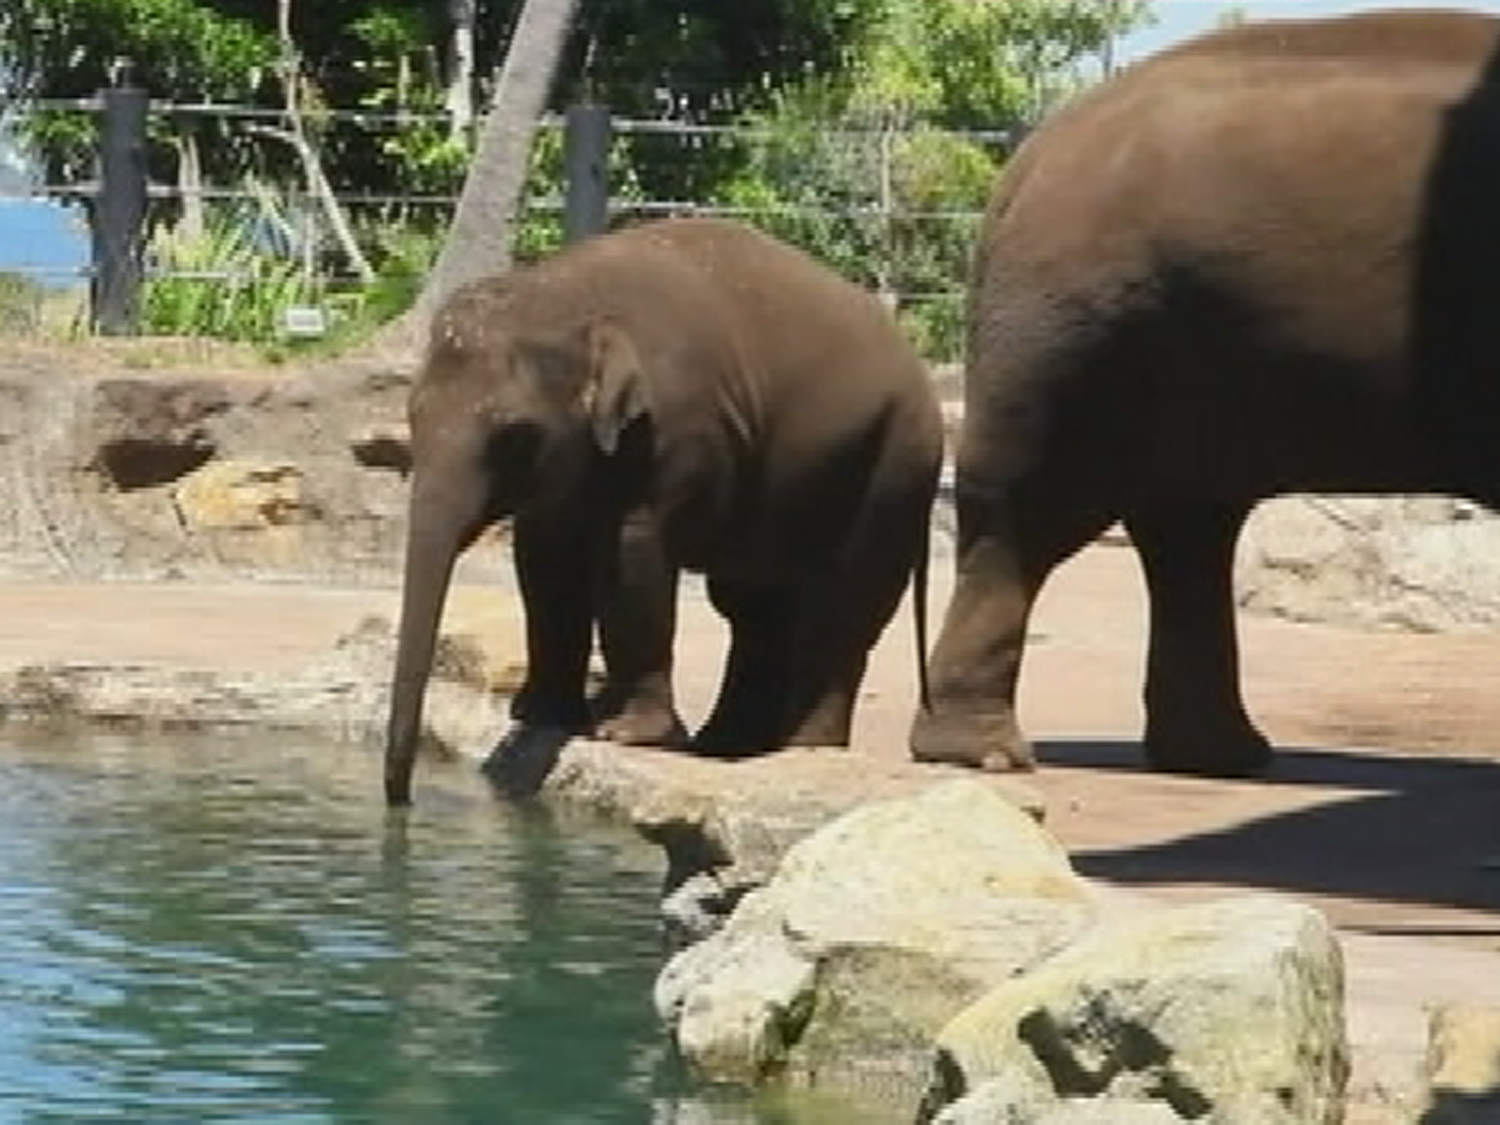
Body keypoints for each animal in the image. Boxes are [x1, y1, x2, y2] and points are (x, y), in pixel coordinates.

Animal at [385, 217, 943, 805]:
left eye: (514, 435)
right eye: (413, 414)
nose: (402, 798)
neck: (566, 290)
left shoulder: (672, 432)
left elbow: (633, 561)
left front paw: (626, 735)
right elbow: (544, 559)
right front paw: (541, 716)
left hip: (895, 466)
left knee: (841, 604)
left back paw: (803, 750)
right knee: (756, 604)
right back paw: (727, 746)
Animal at [910, 9, 1500, 777]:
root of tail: (1030, 158)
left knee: (1188, 528)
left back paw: (1221, 755)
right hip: (1077, 332)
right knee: (1032, 510)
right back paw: (985, 754)